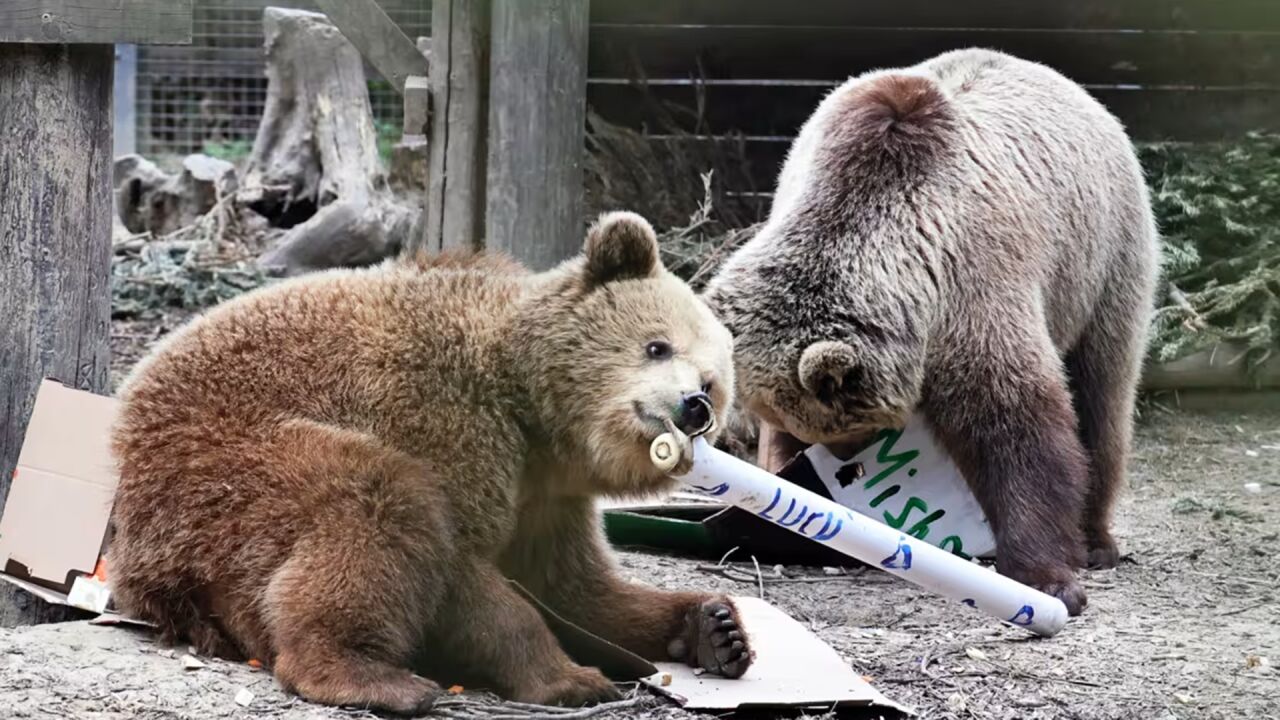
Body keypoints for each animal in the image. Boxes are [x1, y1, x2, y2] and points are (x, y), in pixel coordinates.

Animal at [107, 211, 752, 715]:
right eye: (656, 345)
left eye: (712, 384)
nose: (692, 406)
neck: (534, 416)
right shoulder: (444, 416)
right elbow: (467, 570)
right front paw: (571, 678)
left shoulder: (547, 497)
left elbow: (573, 585)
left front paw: (714, 628)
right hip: (223, 463)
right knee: (376, 504)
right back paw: (373, 676)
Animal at [703, 48, 1160, 615]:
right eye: (812, 430)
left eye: (847, 430)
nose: (843, 465)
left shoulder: (972, 284)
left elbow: (1018, 430)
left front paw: (1047, 577)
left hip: (1103, 260)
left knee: (1103, 393)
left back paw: (1097, 541)